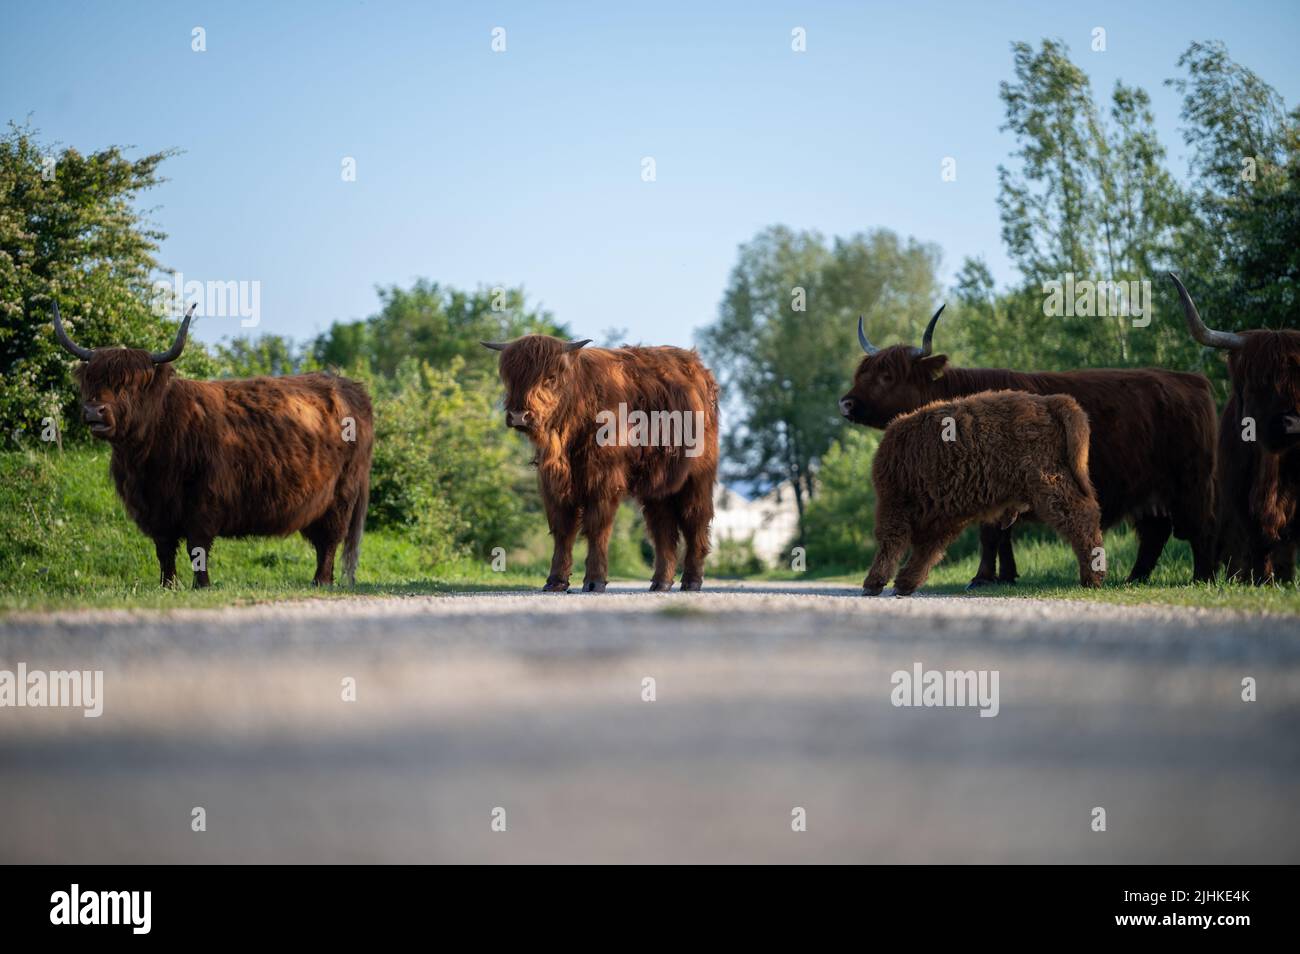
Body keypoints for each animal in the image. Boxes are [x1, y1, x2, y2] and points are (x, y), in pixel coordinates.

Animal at [52, 302, 373, 588]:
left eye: (128, 384)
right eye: (92, 381)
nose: (94, 411)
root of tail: (349, 387)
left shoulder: (205, 501)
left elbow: (198, 547)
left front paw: (202, 585)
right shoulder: (154, 509)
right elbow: (164, 550)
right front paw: (167, 585)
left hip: (340, 496)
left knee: (329, 540)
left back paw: (321, 581)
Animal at [481, 334, 719, 592]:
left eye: (550, 377)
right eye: (510, 378)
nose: (518, 416)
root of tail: (698, 368)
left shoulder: (603, 480)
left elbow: (597, 528)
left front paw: (594, 581)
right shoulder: (553, 484)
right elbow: (563, 530)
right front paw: (555, 581)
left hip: (697, 478)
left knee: (695, 521)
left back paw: (691, 581)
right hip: (659, 486)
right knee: (663, 528)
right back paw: (660, 582)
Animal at [863, 390, 1105, 596]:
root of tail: (1050, 402)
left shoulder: (893, 501)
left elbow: (891, 541)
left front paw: (873, 583)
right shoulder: (945, 516)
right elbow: (927, 550)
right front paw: (904, 583)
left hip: (1050, 486)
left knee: (1080, 520)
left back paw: (1092, 578)